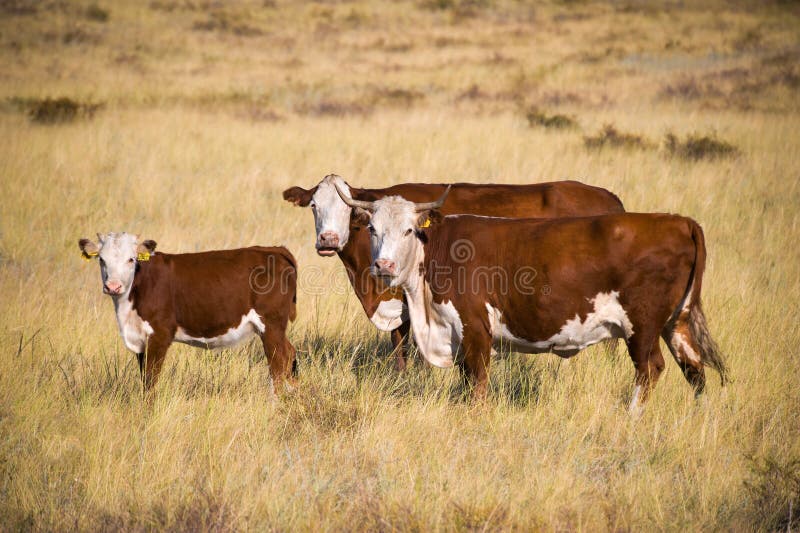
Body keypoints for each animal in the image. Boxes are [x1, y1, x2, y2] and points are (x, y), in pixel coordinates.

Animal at [78, 232, 298, 394]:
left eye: (131, 259)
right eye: (101, 260)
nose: (113, 286)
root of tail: (274, 249)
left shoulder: (160, 334)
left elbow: (150, 381)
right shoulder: (140, 340)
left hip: (271, 325)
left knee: (279, 364)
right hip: (275, 329)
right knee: (290, 356)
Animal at [335, 185, 728, 412]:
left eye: (408, 230)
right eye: (372, 228)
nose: (383, 265)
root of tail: (679, 221)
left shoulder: (476, 330)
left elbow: (478, 385)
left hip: (642, 325)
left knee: (650, 369)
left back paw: (633, 417)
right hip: (676, 322)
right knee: (694, 369)